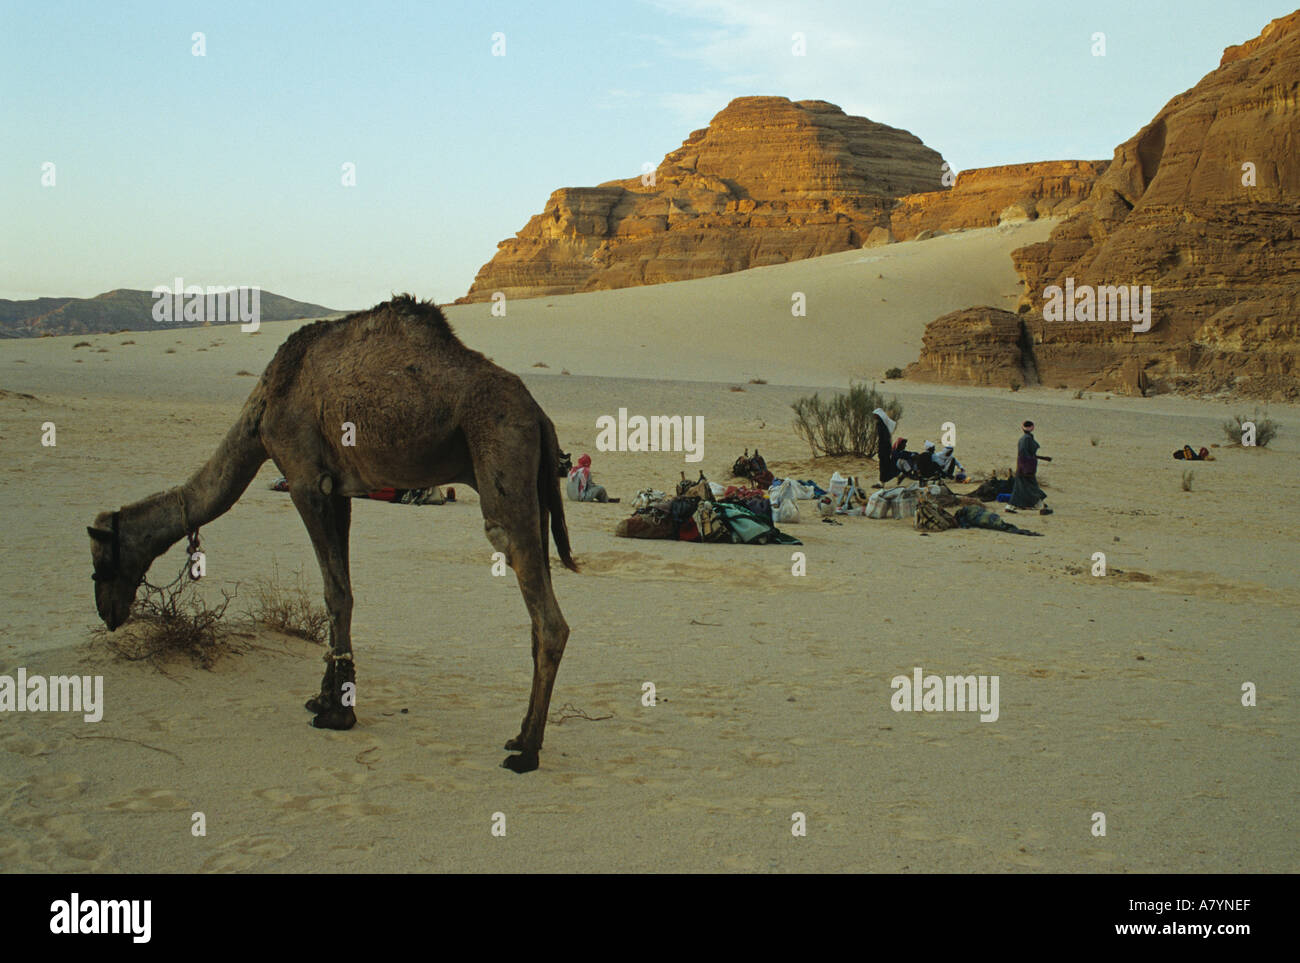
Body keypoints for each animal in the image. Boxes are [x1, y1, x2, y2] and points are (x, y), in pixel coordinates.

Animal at [88, 295, 577, 773]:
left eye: (100, 561)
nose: (107, 613)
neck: (264, 406)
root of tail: (539, 414)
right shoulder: (339, 490)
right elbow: (341, 592)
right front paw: (326, 697)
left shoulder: (306, 480)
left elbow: (334, 592)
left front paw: (337, 713)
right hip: (530, 482)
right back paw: (521, 735)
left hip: (501, 454)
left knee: (541, 605)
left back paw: (527, 751)